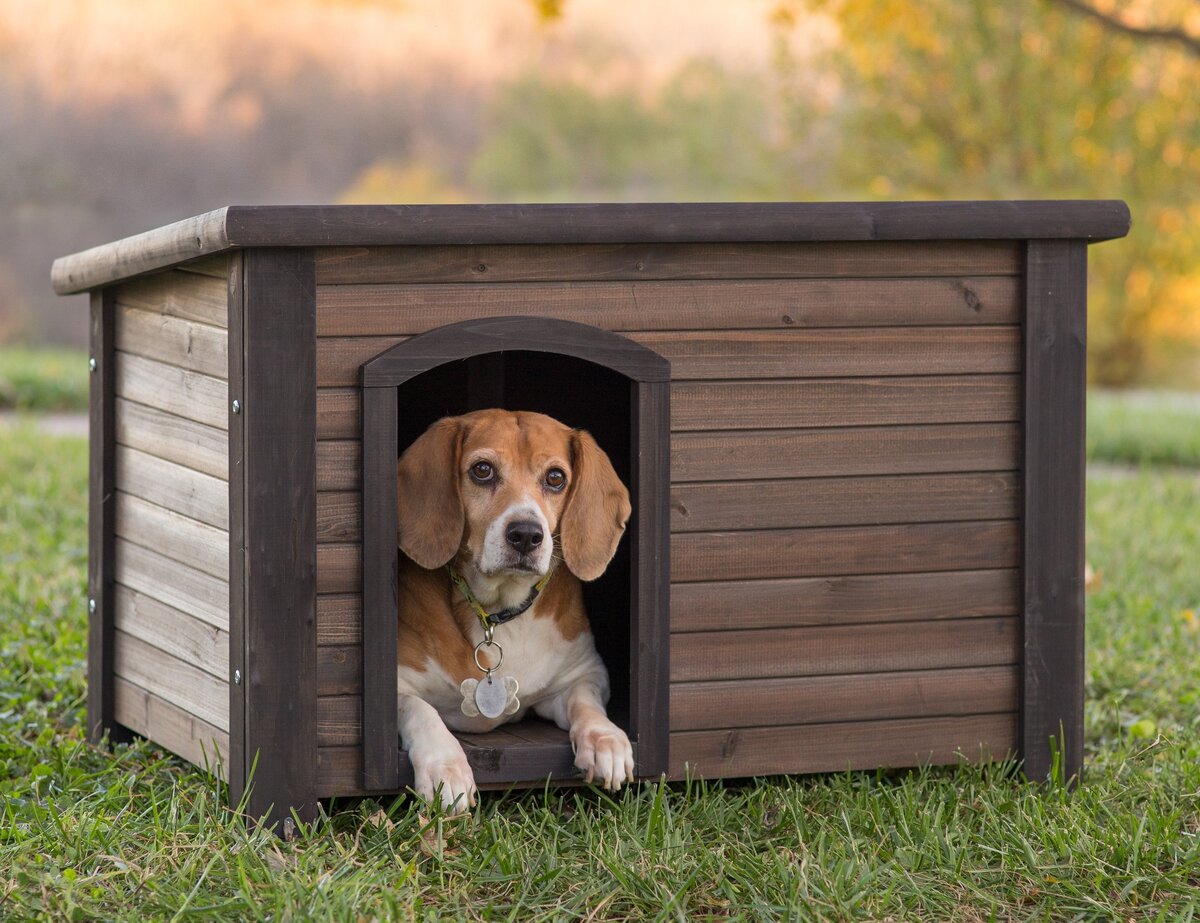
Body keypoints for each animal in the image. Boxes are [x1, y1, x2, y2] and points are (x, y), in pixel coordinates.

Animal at [393, 408, 638, 806]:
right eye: (482, 470)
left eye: (555, 477)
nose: (526, 534)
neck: (497, 613)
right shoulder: (397, 685)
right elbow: (420, 710)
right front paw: (445, 767)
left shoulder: (582, 673)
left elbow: (585, 703)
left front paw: (605, 739)